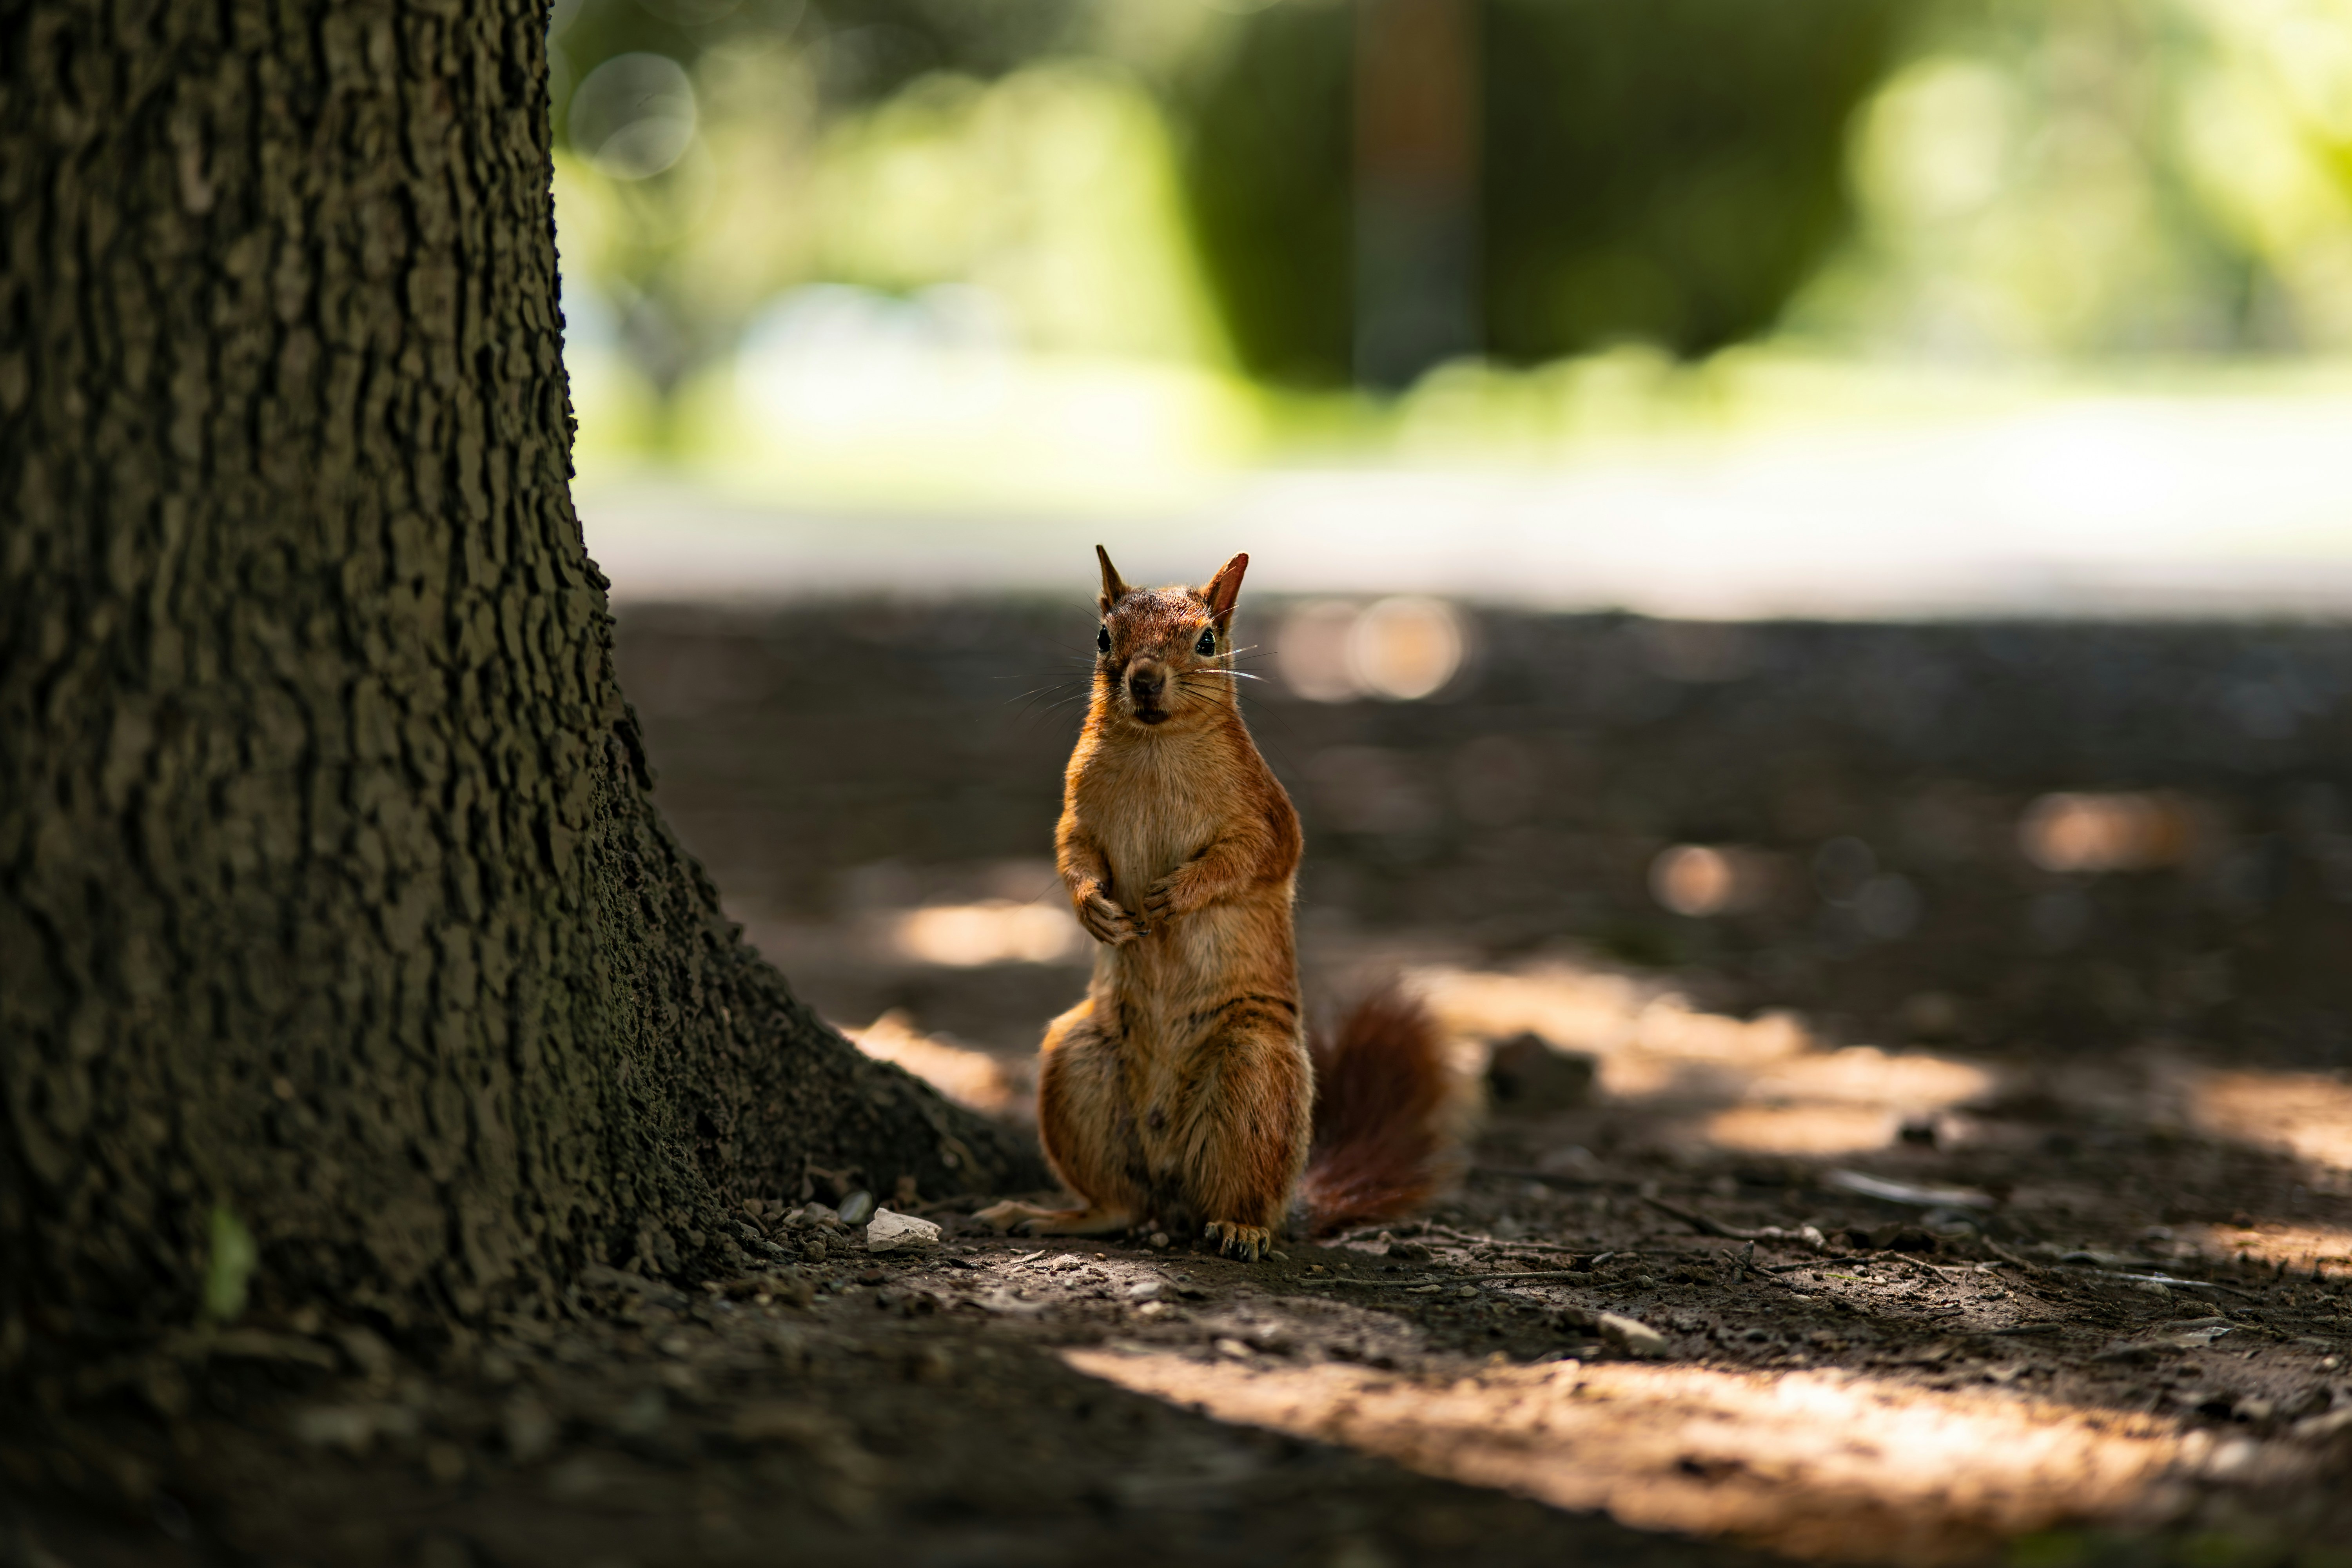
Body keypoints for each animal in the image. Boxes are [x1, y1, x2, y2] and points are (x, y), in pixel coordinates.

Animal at [977, 548, 1466, 1260]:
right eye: (1103, 637)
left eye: (1207, 641)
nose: (1145, 679)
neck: (1154, 746)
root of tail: (1171, 1189)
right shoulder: (1077, 811)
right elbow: (1072, 853)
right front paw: (1093, 908)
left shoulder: (1265, 816)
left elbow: (1248, 860)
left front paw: (1179, 893)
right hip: (1077, 1065)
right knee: (1120, 1205)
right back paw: (1059, 1215)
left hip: (1254, 1072)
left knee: (1240, 1194)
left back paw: (1243, 1228)